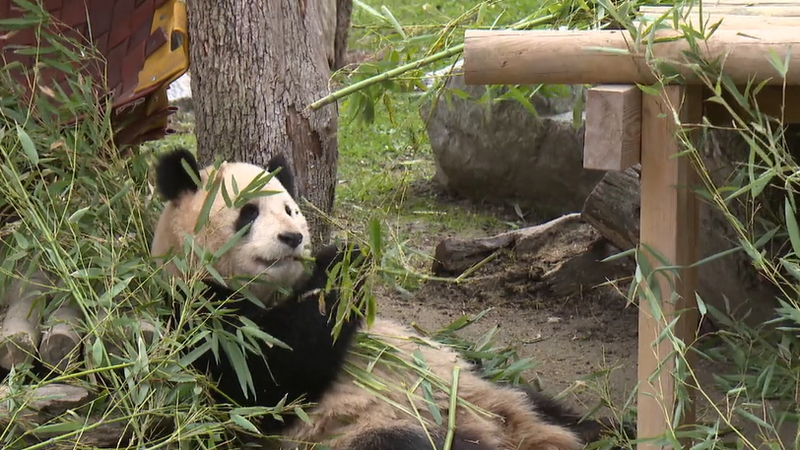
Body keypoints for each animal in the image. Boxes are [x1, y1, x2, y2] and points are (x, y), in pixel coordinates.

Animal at [150, 147, 624, 450]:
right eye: (247, 214)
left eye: (288, 210)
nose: (292, 238)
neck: (270, 292)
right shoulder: (201, 322)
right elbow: (266, 381)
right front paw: (344, 260)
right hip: (377, 428)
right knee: (410, 442)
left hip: (491, 389)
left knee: (561, 412)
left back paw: (611, 429)